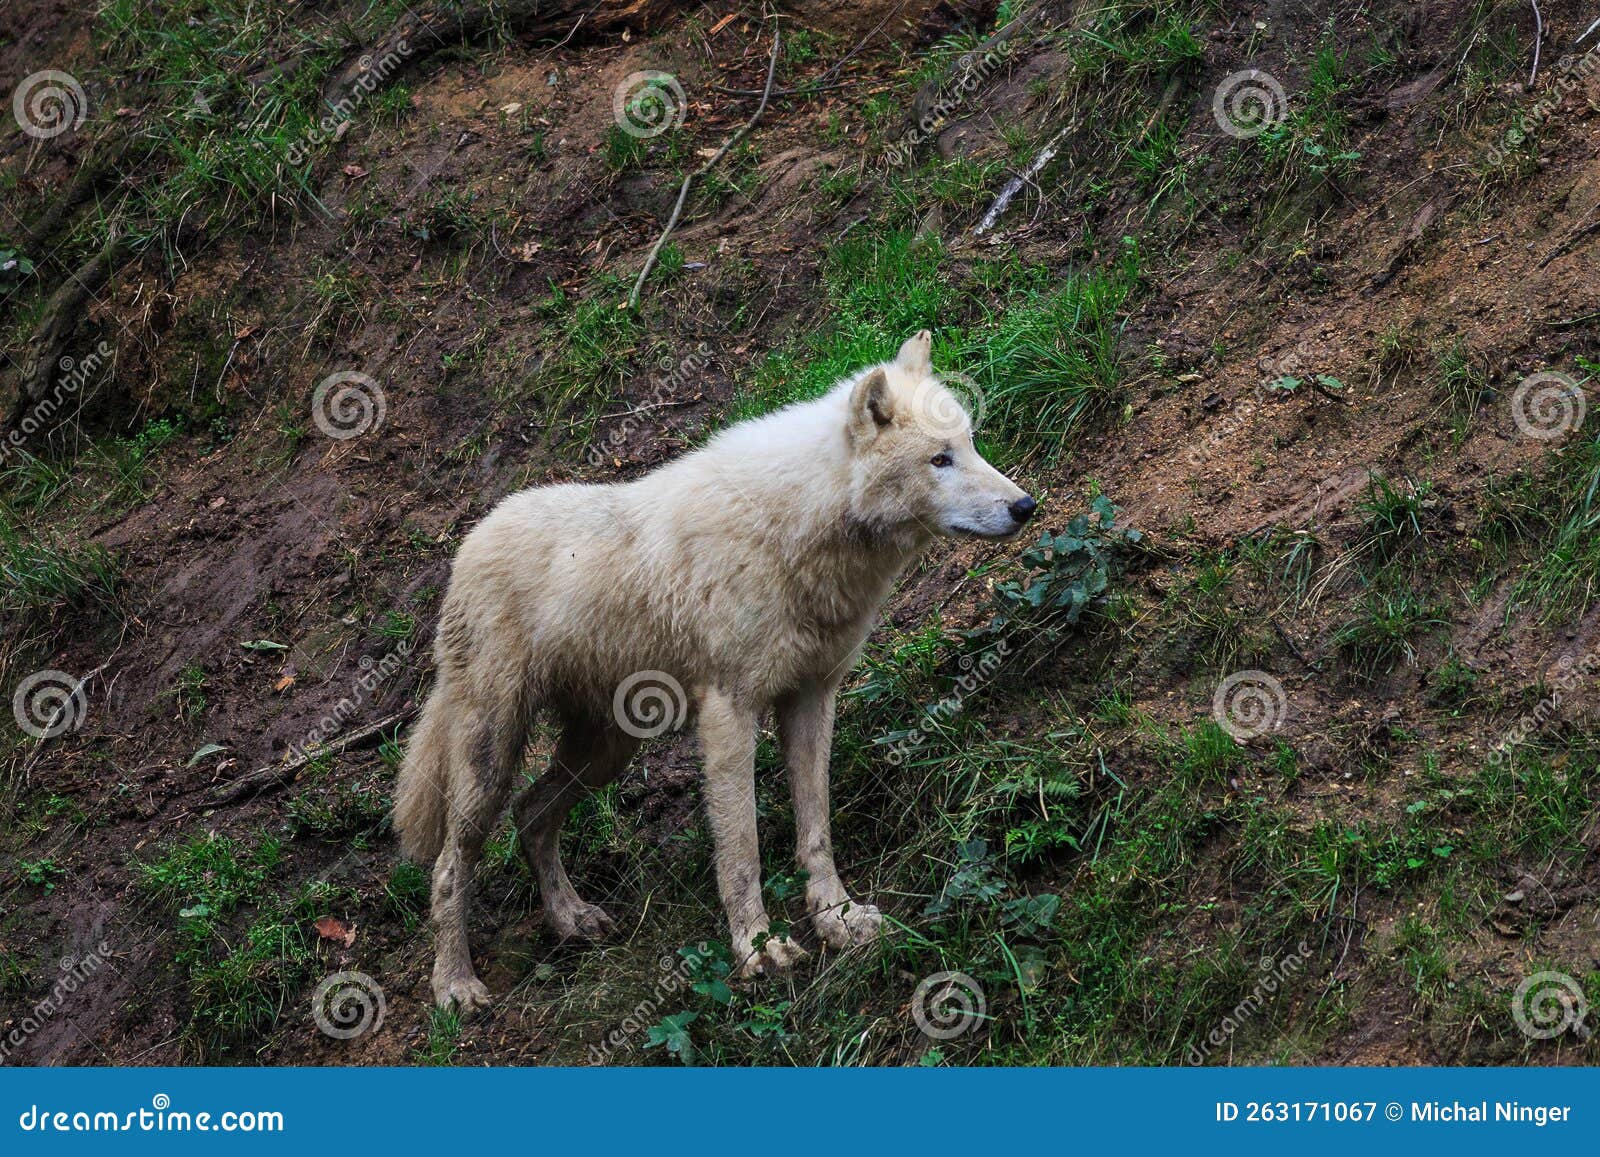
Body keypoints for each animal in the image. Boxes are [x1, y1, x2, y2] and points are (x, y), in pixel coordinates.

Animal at [395, 331, 1036, 1011]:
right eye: (940, 459)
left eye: (971, 444)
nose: (1026, 505)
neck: (797, 529)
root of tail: (468, 545)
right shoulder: (730, 713)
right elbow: (742, 849)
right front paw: (758, 950)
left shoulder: (812, 698)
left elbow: (816, 830)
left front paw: (836, 919)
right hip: (492, 756)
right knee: (449, 865)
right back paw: (455, 985)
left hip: (606, 752)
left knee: (532, 814)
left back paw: (570, 919)